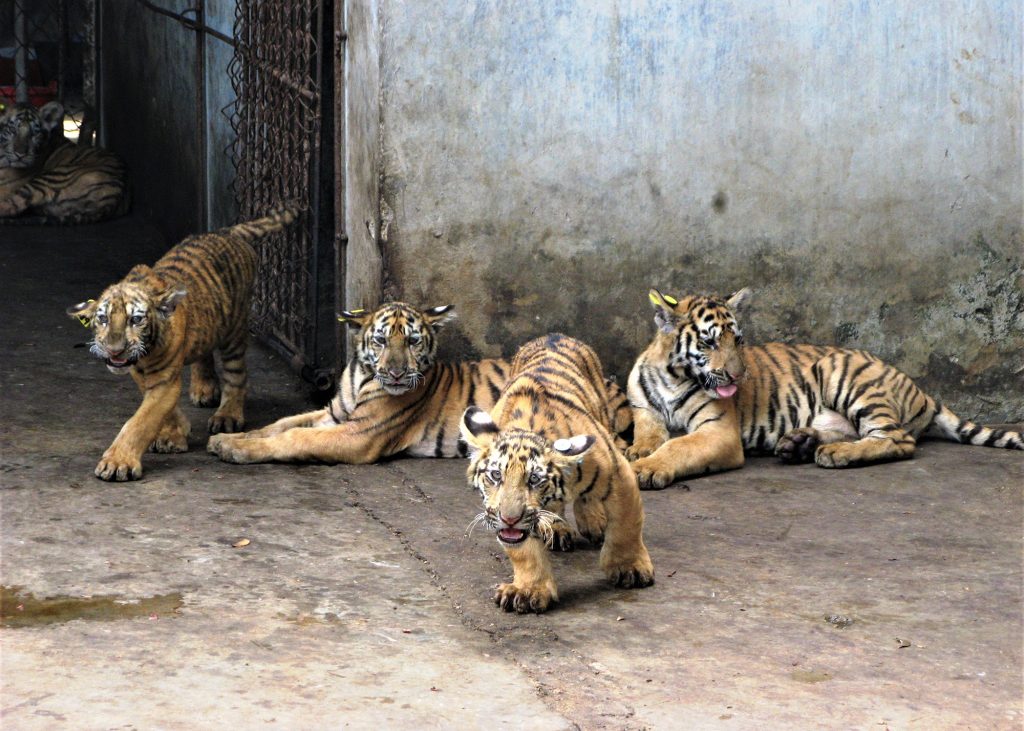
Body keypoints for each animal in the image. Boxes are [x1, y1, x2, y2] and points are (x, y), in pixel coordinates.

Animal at [66, 208, 297, 481]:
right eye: (103, 319)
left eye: (136, 320)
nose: (115, 350)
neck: (144, 357)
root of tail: (227, 231)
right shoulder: (142, 373)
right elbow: (160, 409)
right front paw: (174, 433)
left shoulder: (163, 378)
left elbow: (141, 421)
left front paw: (117, 462)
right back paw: (204, 388)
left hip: (234, 329)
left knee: (236, 374)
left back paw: (227, 415)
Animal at [460, 333, 655, 614]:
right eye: (495, 476)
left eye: (534, 479)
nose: (509, 519)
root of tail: (554, 335)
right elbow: (523, 551)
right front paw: (528, 590)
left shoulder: (619, 474)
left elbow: (626, 525)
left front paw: (630, 568)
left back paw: (592, 522)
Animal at [626, 287, 1024, 490]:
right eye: (709, 343)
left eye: (737, 341)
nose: (738, 377)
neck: (674, 376)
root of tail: (921, 391)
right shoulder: (644, 410)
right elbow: (650, 431)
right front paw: (637, 451)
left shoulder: (719, 431)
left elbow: (679, 446)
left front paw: (647, 468)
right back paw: (800, 443)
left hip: (843, 375)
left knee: (896, 439)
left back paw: (835, 454)